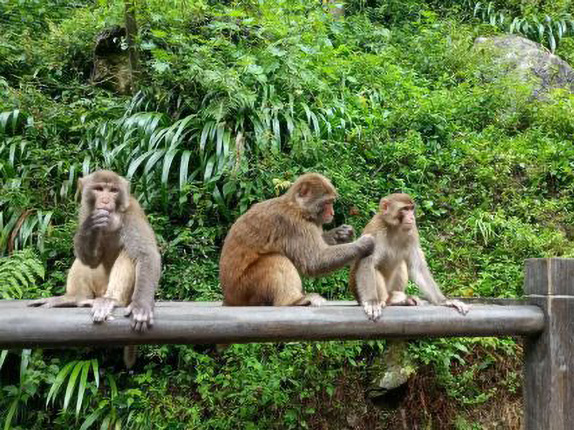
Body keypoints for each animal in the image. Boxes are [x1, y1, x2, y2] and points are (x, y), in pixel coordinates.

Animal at [30, 170, 163, 364]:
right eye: (99, 189)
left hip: (122, 293)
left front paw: (142, 306)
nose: (106, 201)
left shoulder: (132, 211)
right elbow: (91, 260)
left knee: (128, 253)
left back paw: (112, 300)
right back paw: (74, 298)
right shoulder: (84, 211)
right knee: (81, 262)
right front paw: (90, 226)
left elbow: (145, 254)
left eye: (113, 191)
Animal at [218, 171, 376, 306]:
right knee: (275, 259)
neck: (298, 209)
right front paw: (364, 244)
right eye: (326, 203)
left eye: (331, 202)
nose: (332, 213)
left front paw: (340, 234)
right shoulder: (292, 225)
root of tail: (228, 299)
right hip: (244, 289)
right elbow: (314, 261)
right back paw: (293, 301)